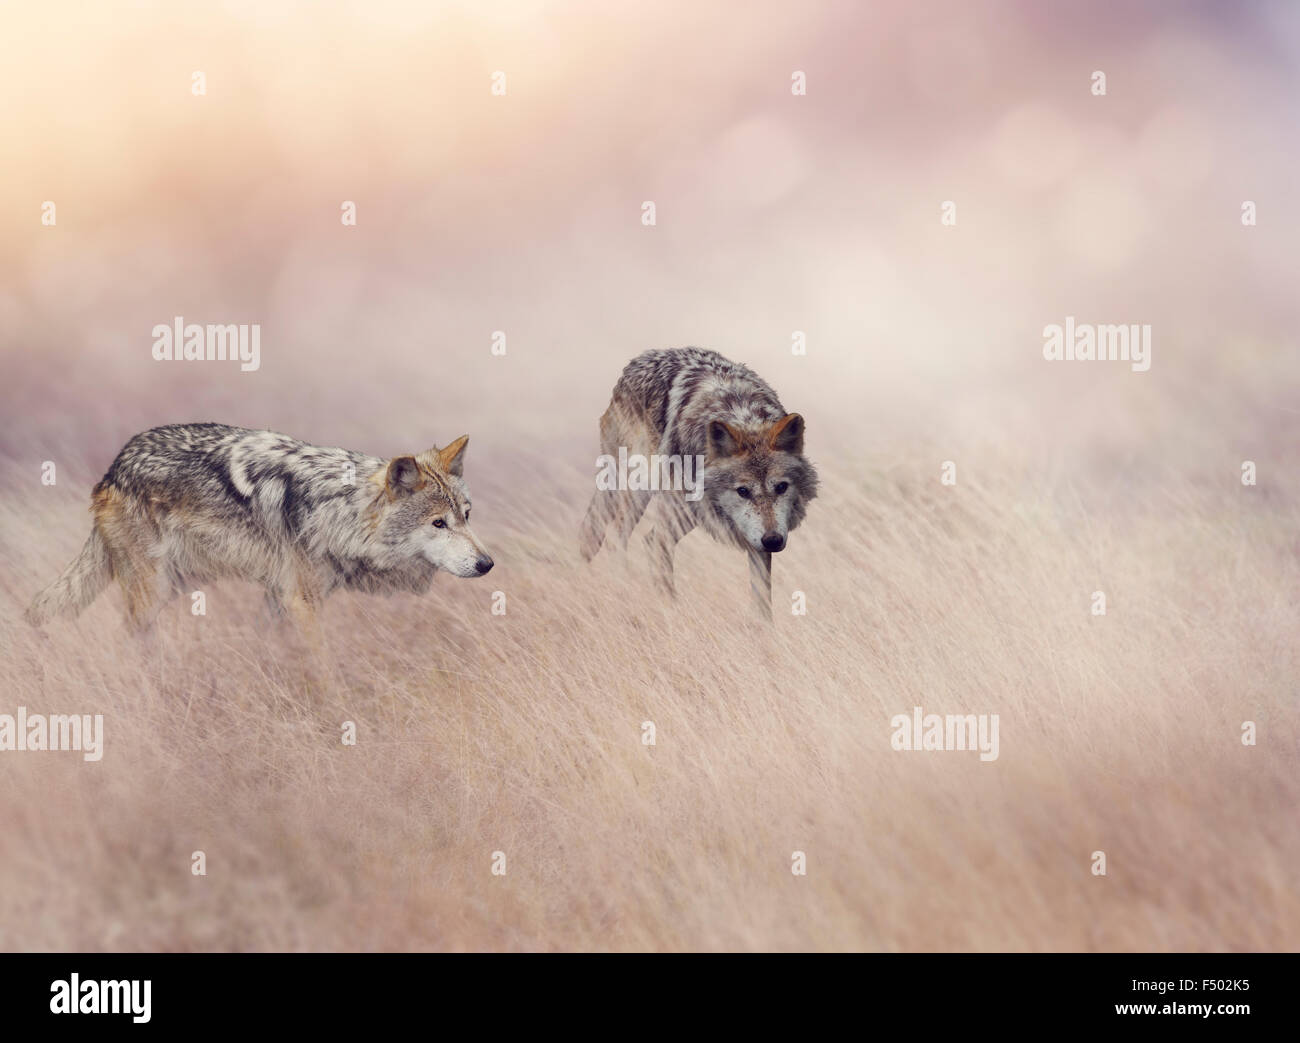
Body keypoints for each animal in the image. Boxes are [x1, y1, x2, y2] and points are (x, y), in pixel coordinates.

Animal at [26, 423, 493, 632]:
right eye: (438, 523)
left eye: (467, 516)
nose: (487, 564)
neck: (340, 511)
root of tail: (114, 467)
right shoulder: (301, 603)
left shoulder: (279, 600)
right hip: (153, 591)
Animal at [579, 347, 817, 617]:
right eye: (743, 491)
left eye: (781, 487)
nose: (773, 541)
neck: (741, 415)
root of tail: (634, 364)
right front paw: (669, 611)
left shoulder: (757, 541)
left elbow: (762, 601)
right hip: (646, 492)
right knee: (618, 536)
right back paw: (624, 590)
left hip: (684, 514)